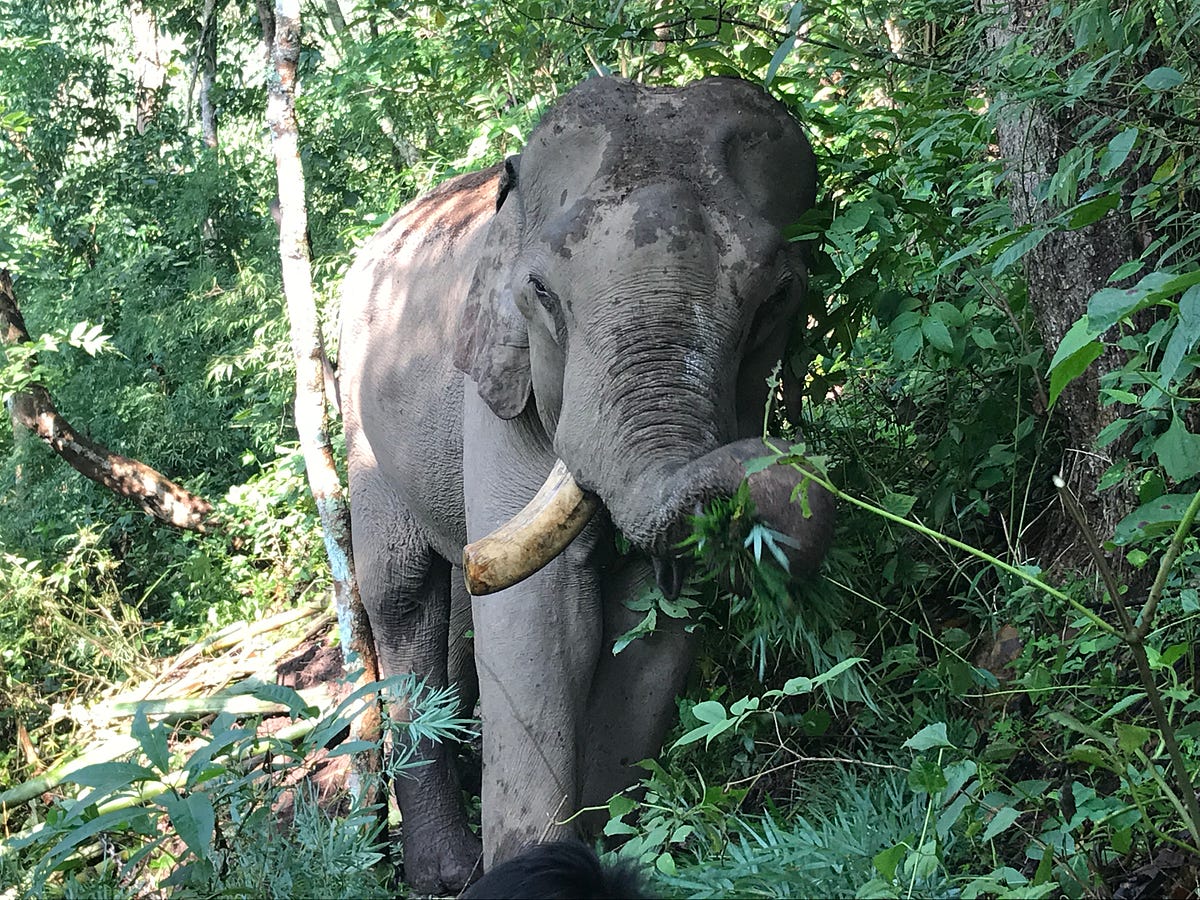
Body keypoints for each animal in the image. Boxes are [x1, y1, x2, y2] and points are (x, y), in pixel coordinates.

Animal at [338, 75, 834, 892]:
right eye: (541, 291)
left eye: (775, 299)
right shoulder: (499, 391)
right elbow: (537, 616)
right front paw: (526, 871)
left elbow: (649, 630)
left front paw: (606, 849)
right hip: (360, 430)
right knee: (403, 594)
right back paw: (445, 871)